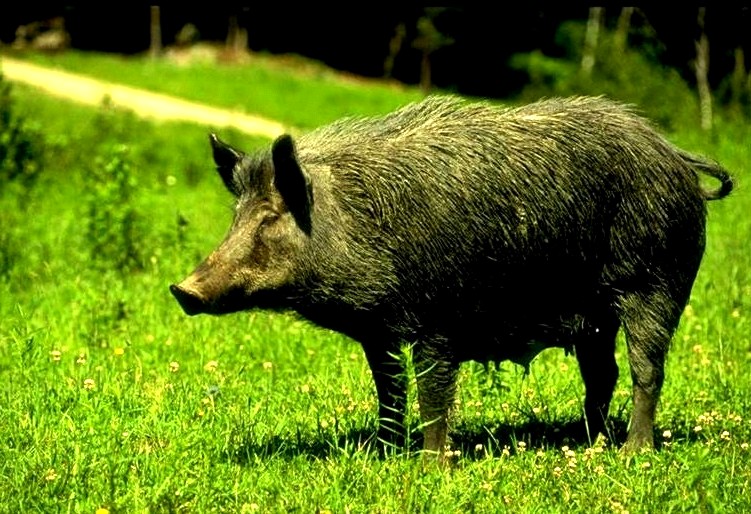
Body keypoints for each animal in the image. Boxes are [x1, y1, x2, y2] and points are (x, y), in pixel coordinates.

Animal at [170, 95, 733, 456]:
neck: (353, 222)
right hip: (596, 314)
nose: (183, 289)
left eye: (271, 216)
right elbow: (390, 391)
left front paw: (428, 466)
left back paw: (633, 453)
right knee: (603, 373)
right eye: (235, 215)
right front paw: (381, 454)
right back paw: (587, 442)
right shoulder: (378, 331)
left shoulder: (438, 319)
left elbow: (432, 393)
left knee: (646, 370)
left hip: (656, 283)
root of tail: (676, 156)